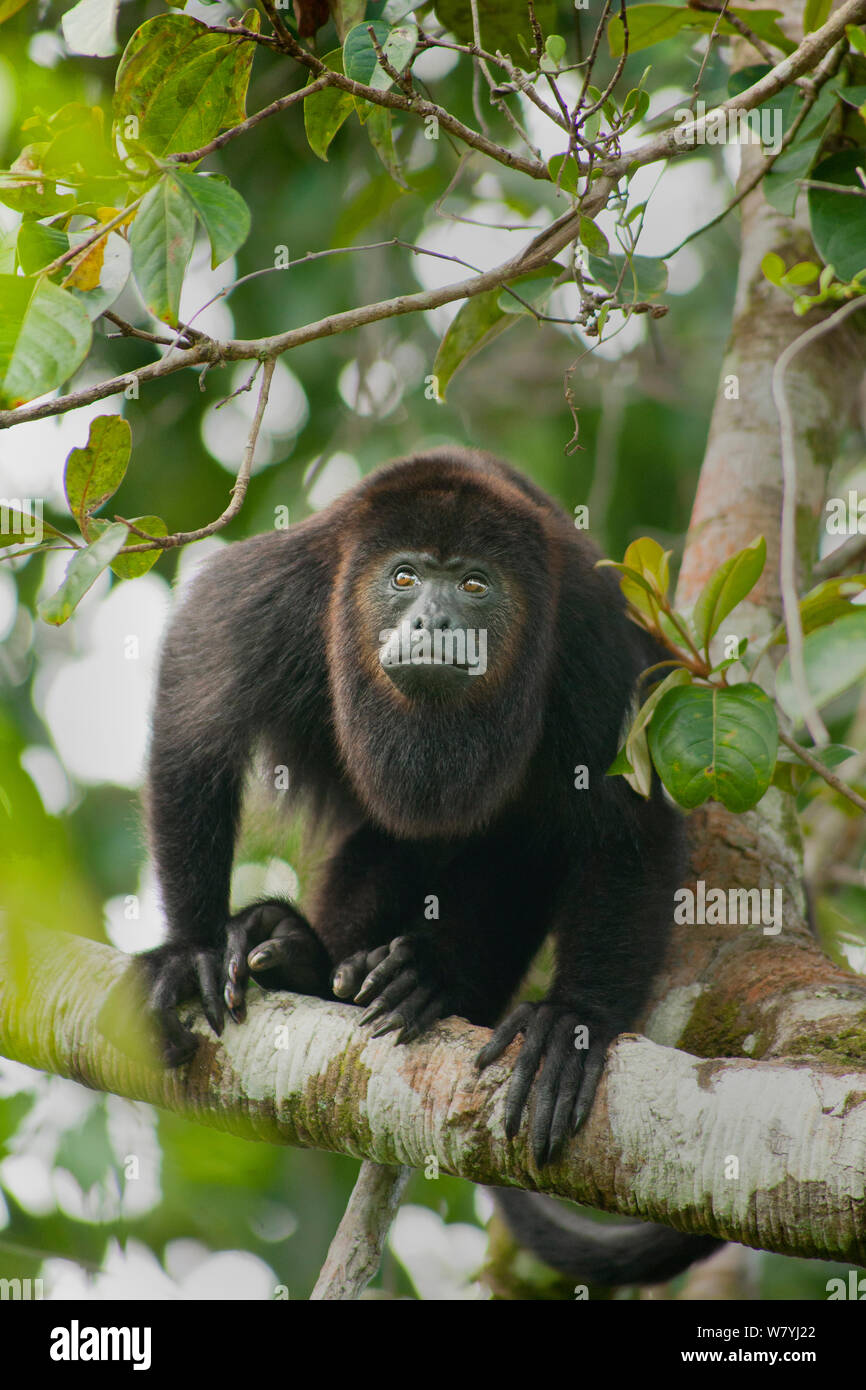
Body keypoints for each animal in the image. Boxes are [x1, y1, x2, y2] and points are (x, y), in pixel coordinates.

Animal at [136, 445, 721, 1285]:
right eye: (405, 577)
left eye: (475, 585)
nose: (434, 621)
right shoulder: (280, 597)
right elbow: (196, 712)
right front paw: (191, 951)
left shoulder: (594, 639)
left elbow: (626, 828)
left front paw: (573, 1024)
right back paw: (305, 959)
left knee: (523, 847)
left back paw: (426, 980)